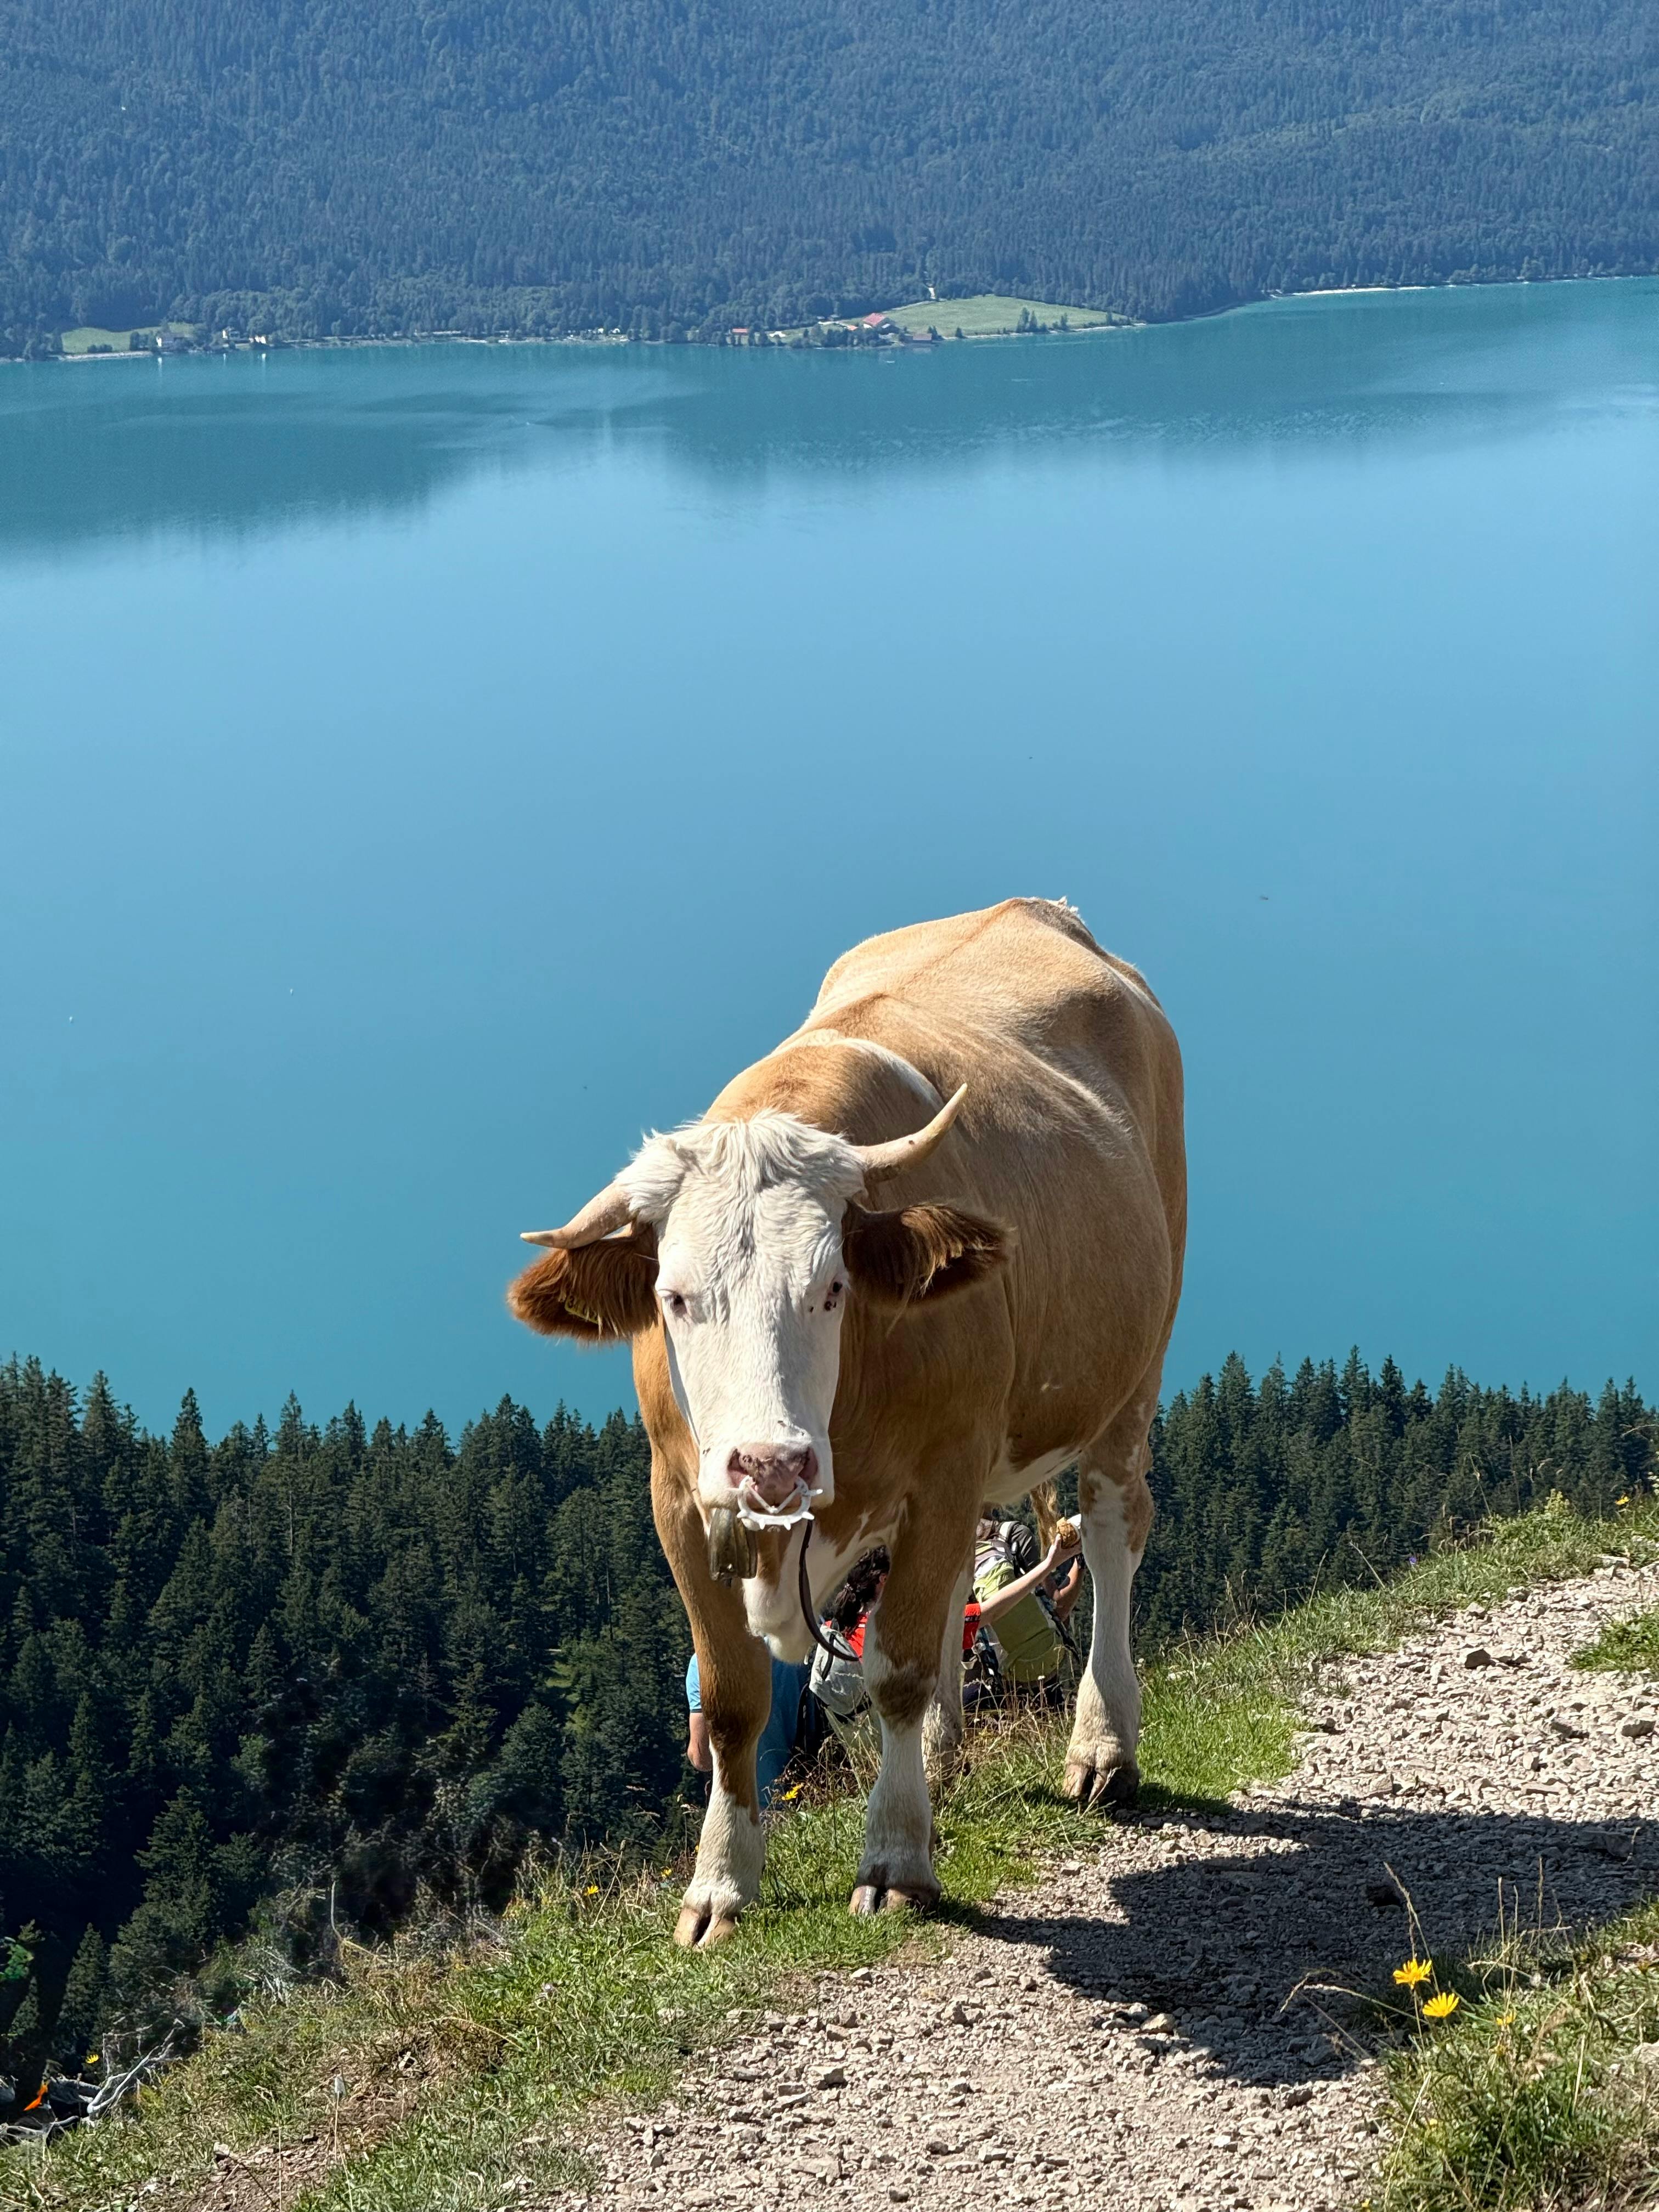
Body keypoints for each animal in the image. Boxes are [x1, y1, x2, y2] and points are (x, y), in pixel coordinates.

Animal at [509, 898, 1185, 1945]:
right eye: (673, 1296)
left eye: (832, 1287)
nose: (768, 1463)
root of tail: (1038, 909)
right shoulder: (679, 1498)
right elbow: (735, 1698)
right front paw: (719, 1886)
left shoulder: (944, 1462)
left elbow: (895, 1665)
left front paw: (896, 1859)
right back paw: (946, 1755)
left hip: (1130, 1370)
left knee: (1113, 1529)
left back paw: (1102, 1748)